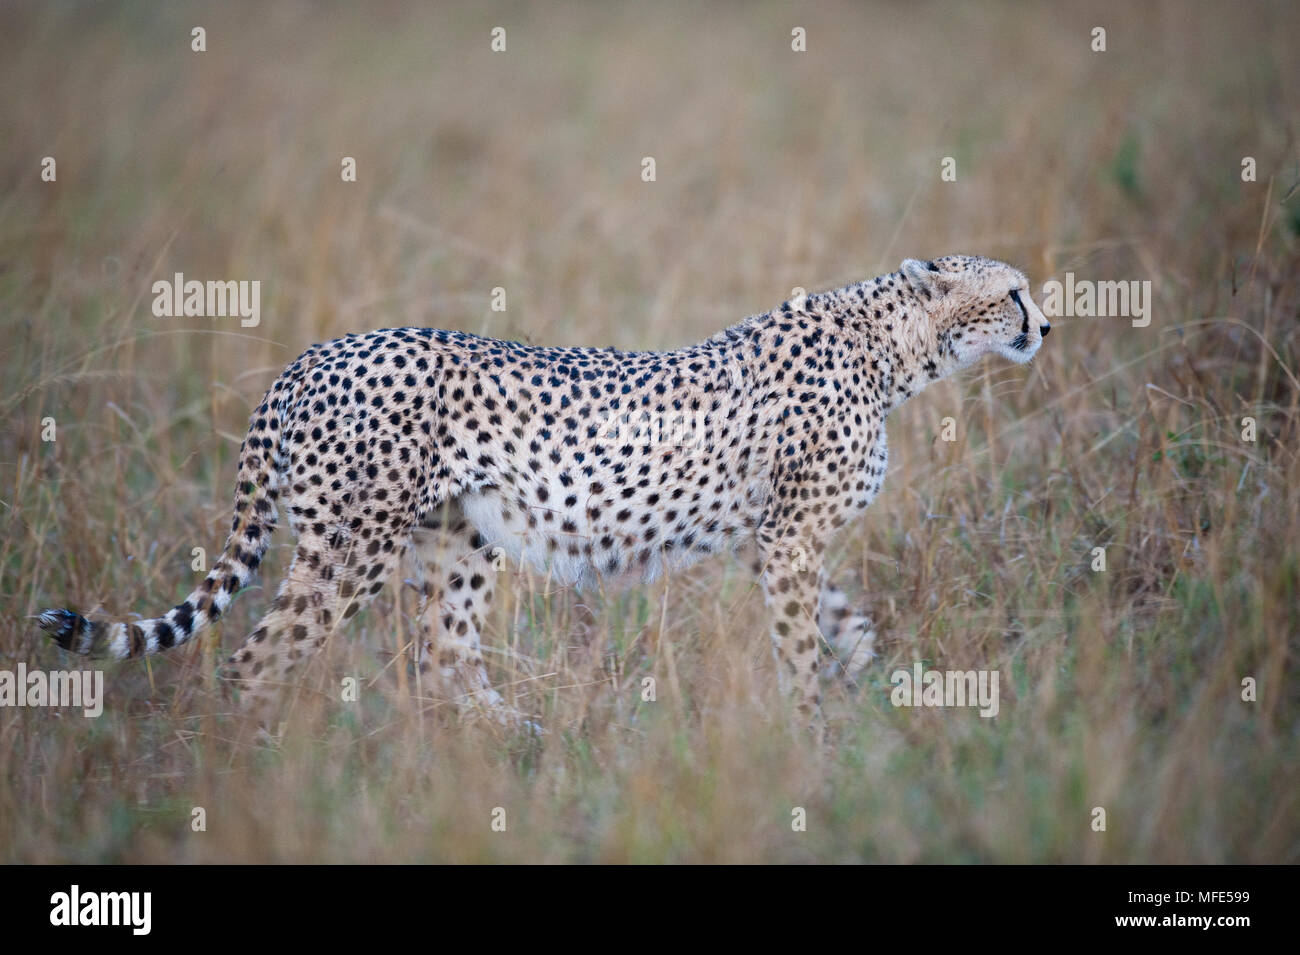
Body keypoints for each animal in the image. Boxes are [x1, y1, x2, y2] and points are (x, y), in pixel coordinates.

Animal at [37, 254, 1050, 730]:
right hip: (351, 545)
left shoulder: (780, 537)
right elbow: (803, 647)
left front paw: (874, 706)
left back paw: (521, 739)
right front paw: (815, 737)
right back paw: (261, 772)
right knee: (260, 658)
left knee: (446, 656)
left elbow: (851, 629)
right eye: (1012, 292)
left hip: (456, 537)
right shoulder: (790, 537)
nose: (1044, 323)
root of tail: (313, 355)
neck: (895, 349)